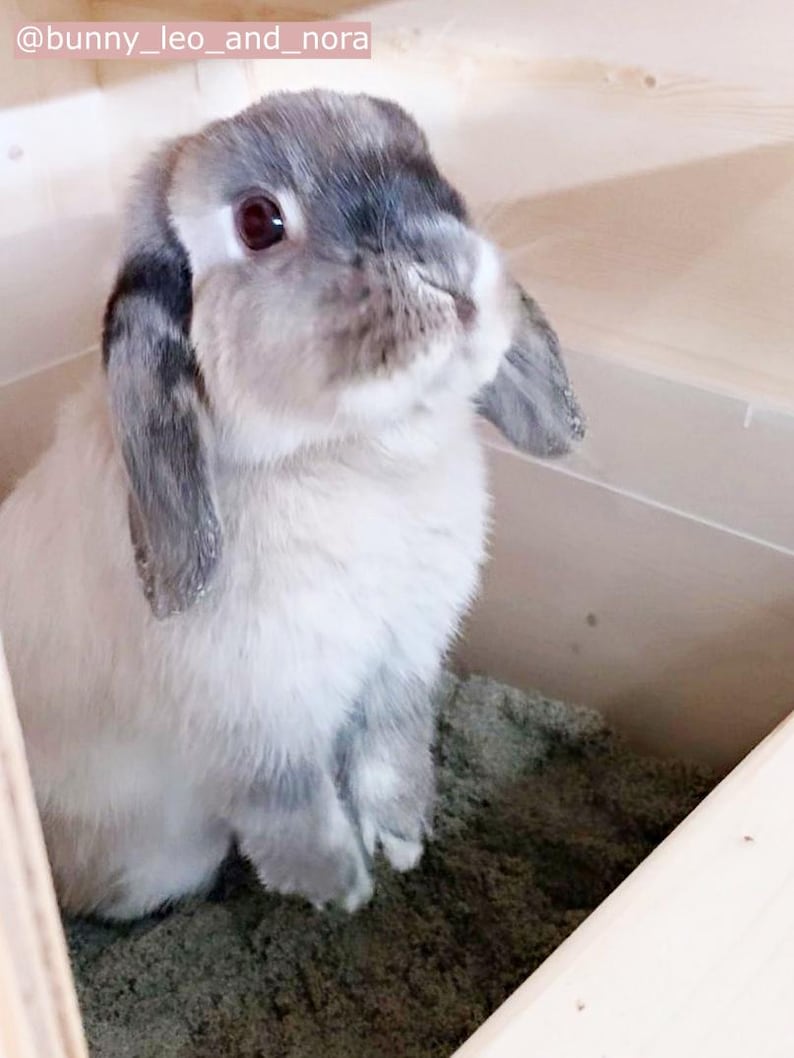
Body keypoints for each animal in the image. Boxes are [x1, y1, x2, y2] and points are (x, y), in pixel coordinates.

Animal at [0, 89, 584, 920]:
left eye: (431, 165)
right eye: (259, 222)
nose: (450, 271)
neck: (359, 455)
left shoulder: (401, 667)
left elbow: (393, 758)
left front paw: (403, 844)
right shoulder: (259, 726)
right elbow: (294, 809)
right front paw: (342, 890)